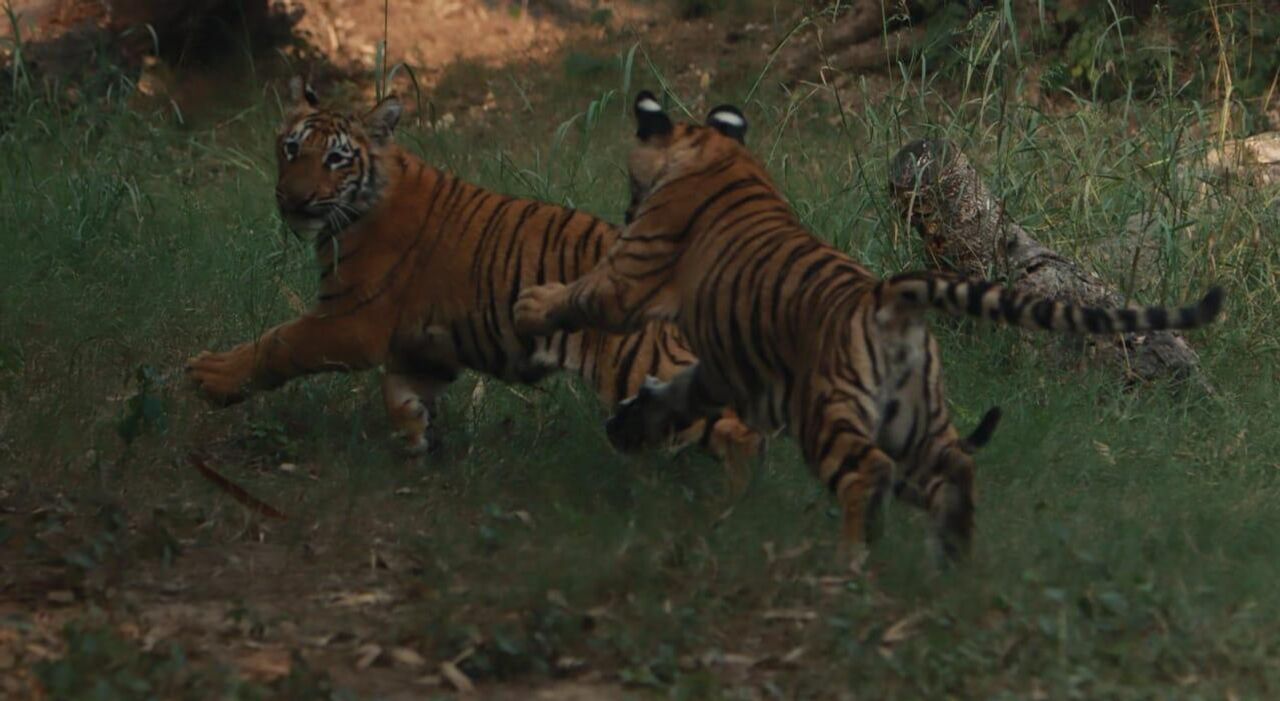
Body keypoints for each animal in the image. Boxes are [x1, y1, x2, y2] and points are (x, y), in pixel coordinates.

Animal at [185, 79, 761, 479]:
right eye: (290, 149)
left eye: (335, 158)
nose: (292, 198)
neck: (356, 207)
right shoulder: (422, 346)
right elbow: (399, 392)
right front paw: (417, 439)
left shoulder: (349, 320)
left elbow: (279, 343)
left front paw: (210, 376)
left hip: (640, 363)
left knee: (736, 430)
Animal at [513, 91, 1225, 568]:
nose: (625, 203)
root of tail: (890, 293)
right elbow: (675, 393)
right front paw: (635, 423)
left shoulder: (633, 273)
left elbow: (587, 293)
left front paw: (533, 304)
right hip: (912, 413)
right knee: (950, 468)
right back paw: (951, 561)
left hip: (834, 412)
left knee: (868, 475)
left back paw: (852, 563)